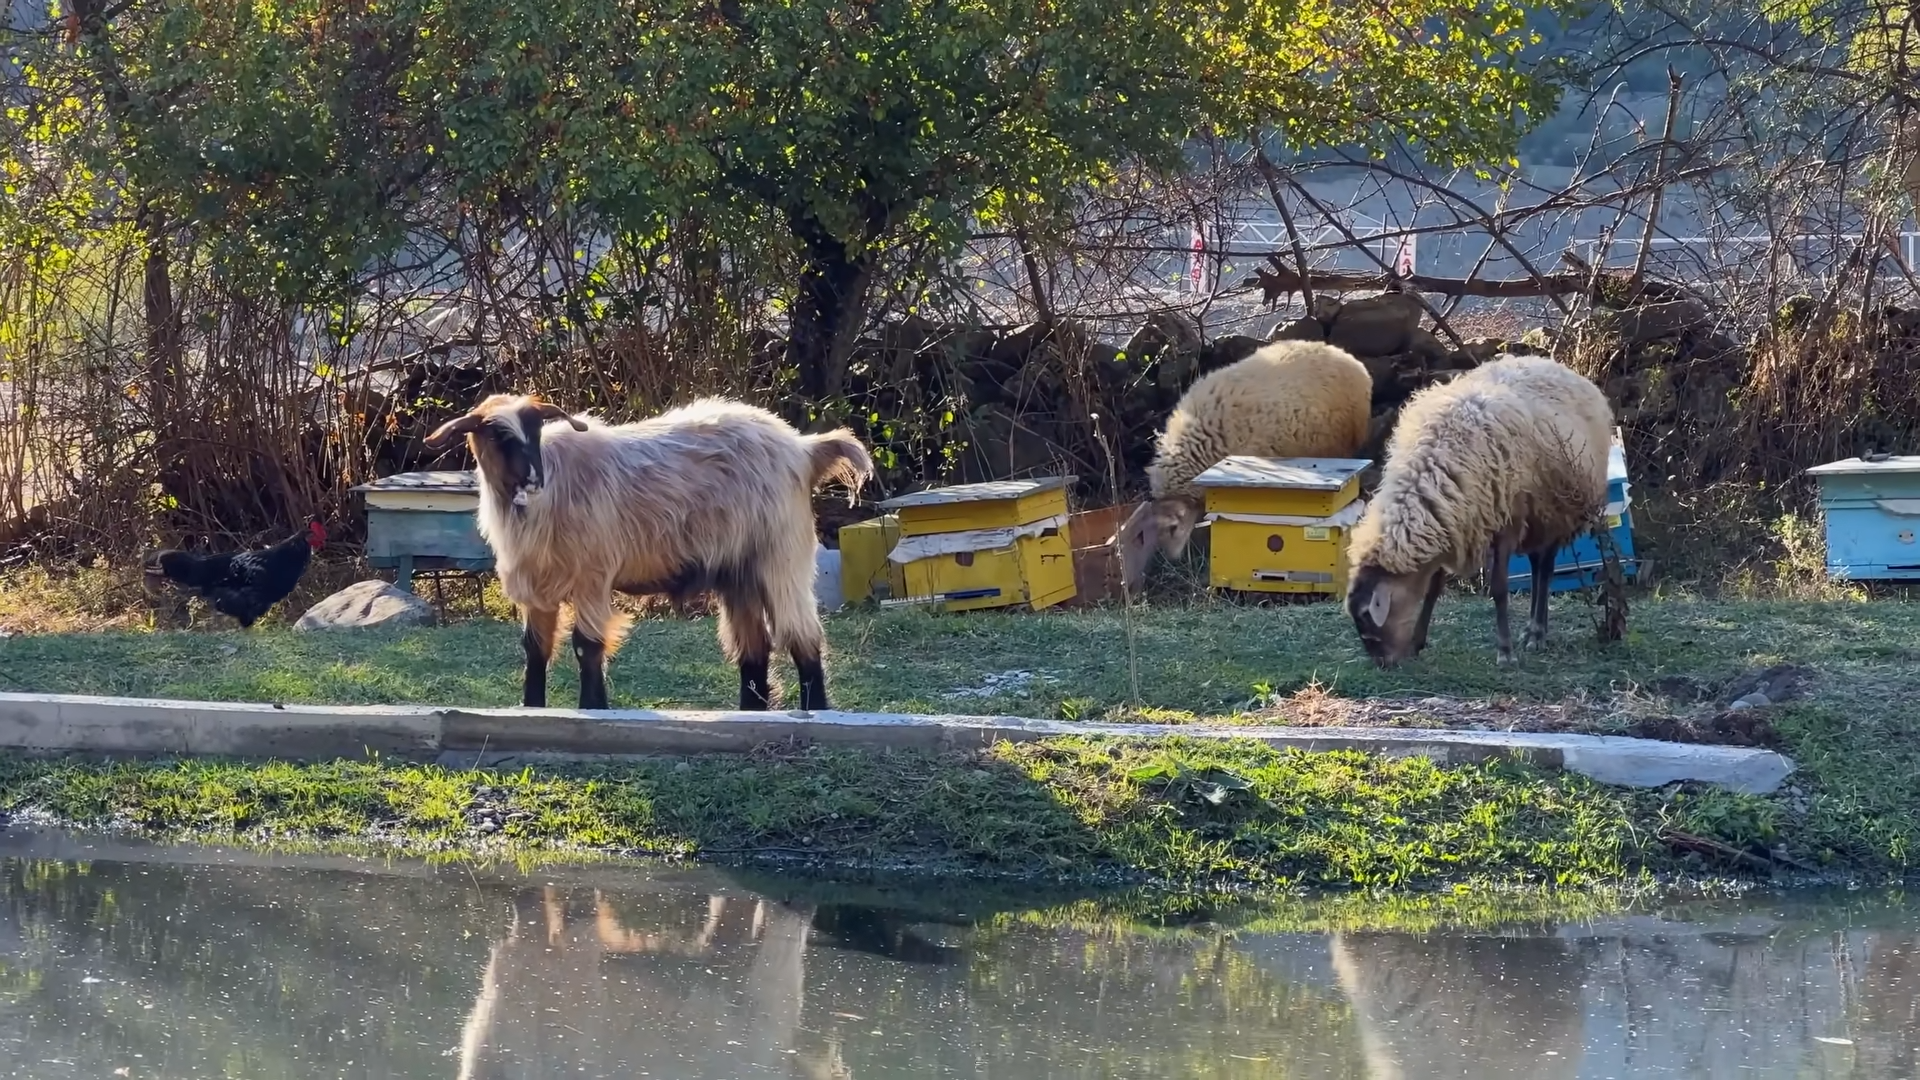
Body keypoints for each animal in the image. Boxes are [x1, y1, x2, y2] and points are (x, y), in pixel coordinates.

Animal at [425, 393, 874, 712]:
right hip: (738, 570)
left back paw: (815, 711)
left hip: (780, 556)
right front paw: (533, 709)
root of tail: (804, 449)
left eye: (535, 429)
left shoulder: (591, 578)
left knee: (803, 637)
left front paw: (593, 709)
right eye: (496, 434)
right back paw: (751, 711)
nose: (534, 479)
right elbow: (535, 649)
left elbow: (587, 645)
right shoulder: (538, 589)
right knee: (754, 647)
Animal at [1344, 354, 1613, 668]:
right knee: (1536, 566)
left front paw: (1505, 651)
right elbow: (1434, 588)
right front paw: (1417, 642)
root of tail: (1555, 365)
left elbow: (1498, 588)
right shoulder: (1450, 524)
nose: (1384, 665)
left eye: (1369, 624)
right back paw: (1532, 630)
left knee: (1545, 570)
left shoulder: (1506, 524)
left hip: (1555, 514)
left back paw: (1537, 632)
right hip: (1537, 518)